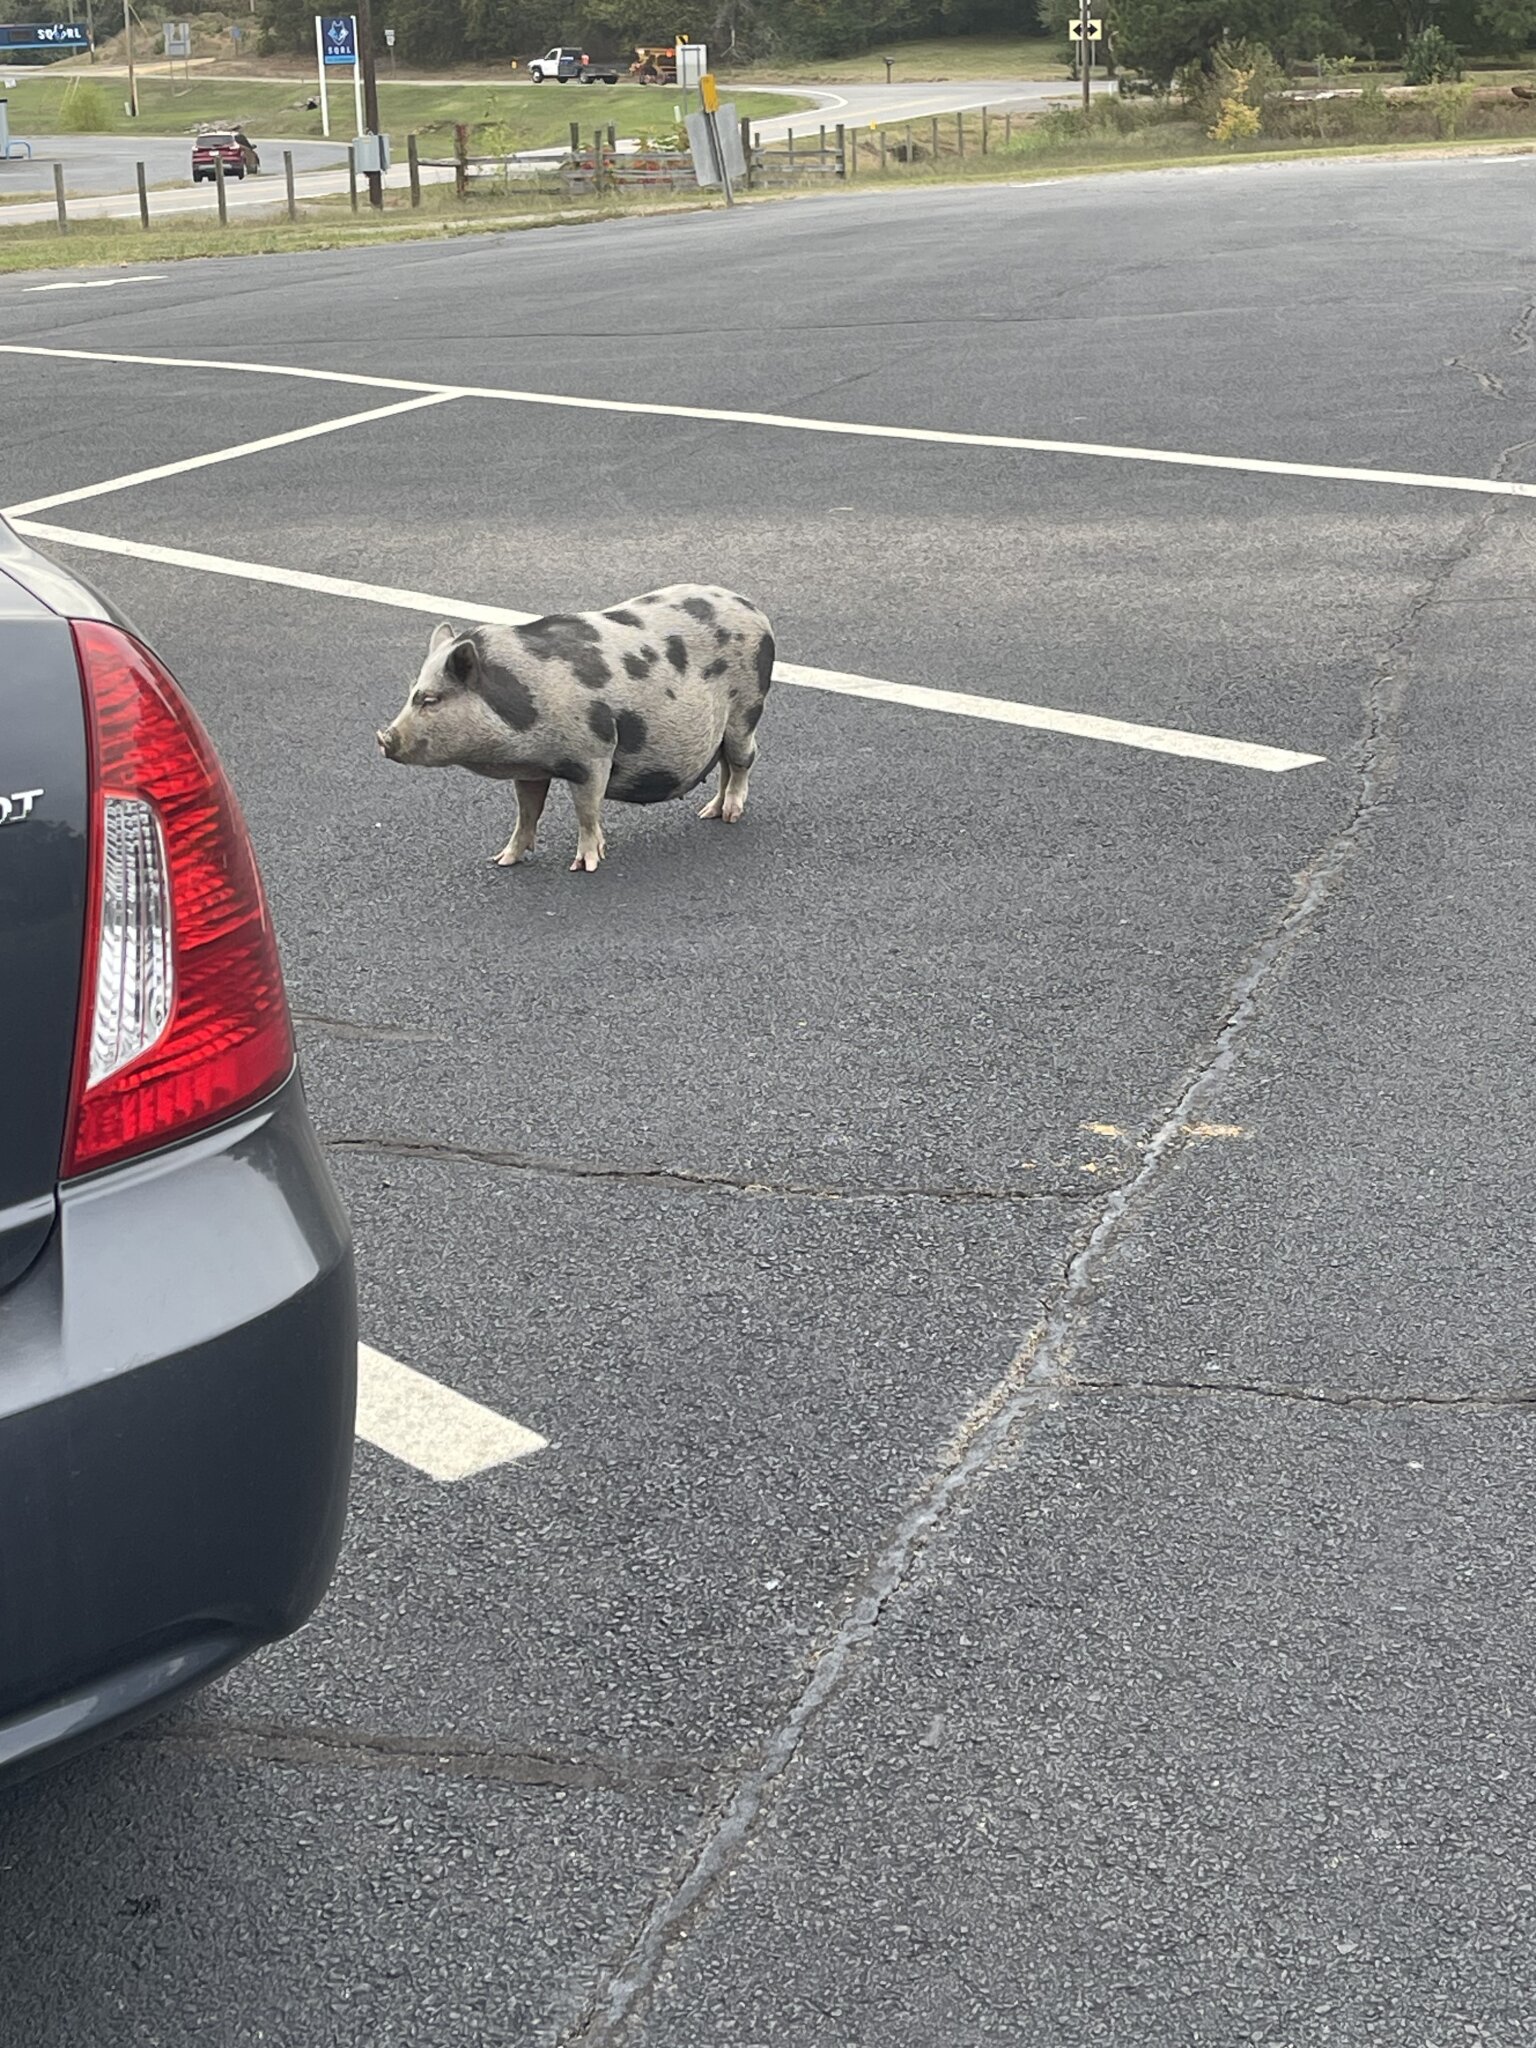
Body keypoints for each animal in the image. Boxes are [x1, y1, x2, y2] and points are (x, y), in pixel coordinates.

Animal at [377, 585, 774, 873]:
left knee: (744, 759)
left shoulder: (594, 752)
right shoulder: (531, 769)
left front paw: (584, 865)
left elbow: (586, 810)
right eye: (413, 693)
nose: (384, 738)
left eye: (432, 700)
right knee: (724, 764)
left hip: (747, 708)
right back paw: (709, 812)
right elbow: (526, 810)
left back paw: (730, 815)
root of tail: (754, 609)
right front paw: (502, 860)